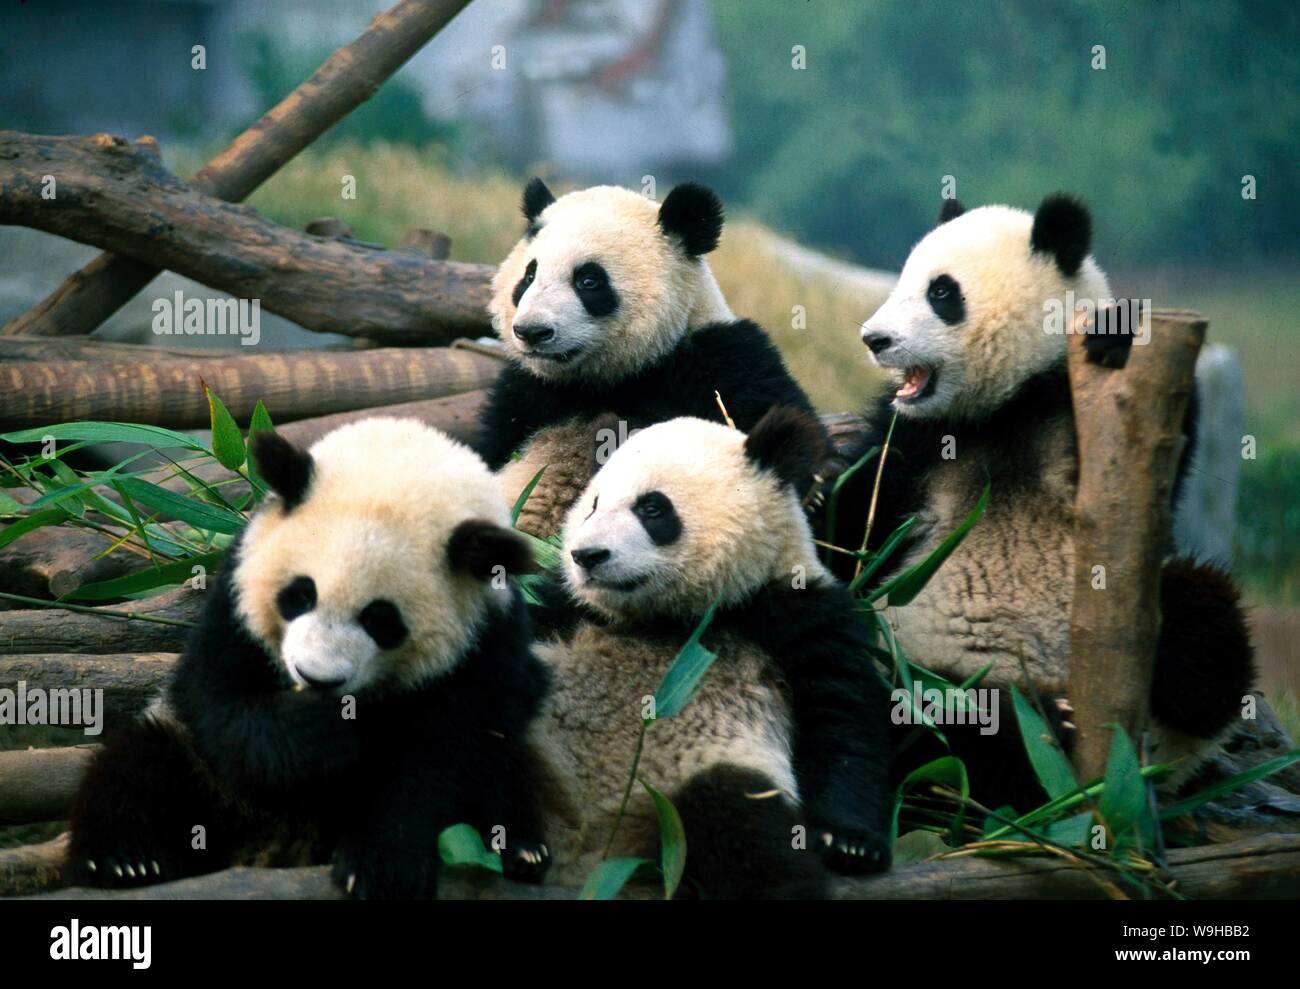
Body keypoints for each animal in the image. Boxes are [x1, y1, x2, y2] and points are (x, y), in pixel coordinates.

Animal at [66, 418, 551, 898]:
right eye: (300, 594)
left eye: (381, 620)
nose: (316, 677)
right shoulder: (234, 602)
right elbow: (222, 708)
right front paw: (315, 729)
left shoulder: (486, 642)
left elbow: (442, 756)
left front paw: (380, 863)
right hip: (197, 770)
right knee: (143, 764)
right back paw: (126, 857)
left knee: (504, 772)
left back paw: (521, 848)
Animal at [527, 407, 894, 896]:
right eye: (593, 505)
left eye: (652, 507)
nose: (587, 556)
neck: (677, 619)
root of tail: (590, 856)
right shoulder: (566, 609)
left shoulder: (795, 612)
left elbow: (844, 719)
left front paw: (850, 842)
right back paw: (523, 847)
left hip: (693, 788)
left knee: (748, 839)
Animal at [824, 194, 1255, 810]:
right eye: (901, 280)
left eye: (941, 293)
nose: (874, 339)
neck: (1004, 405)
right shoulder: (911, 444)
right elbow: (855, 518)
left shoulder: (1074, 407)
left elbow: (1167, 463)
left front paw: (1115, 337)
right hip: (912, 659)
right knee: (918, 721)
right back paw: (1021, 728)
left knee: (1205, 622)